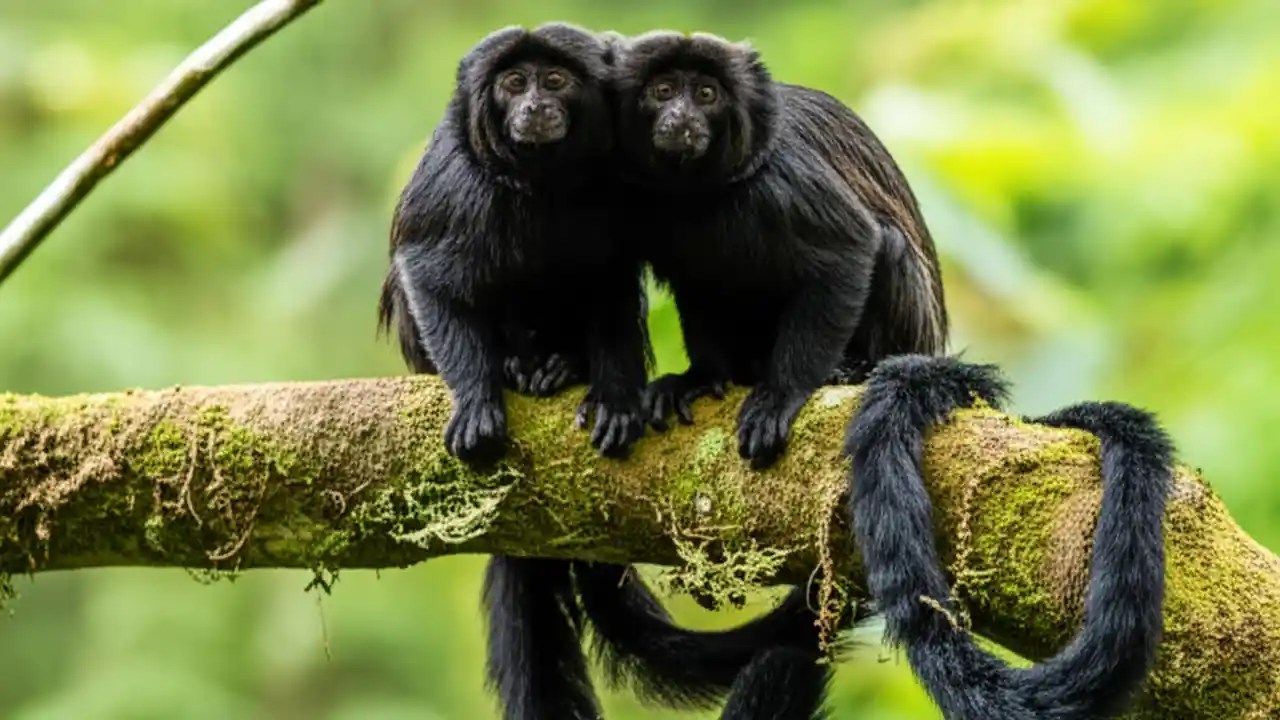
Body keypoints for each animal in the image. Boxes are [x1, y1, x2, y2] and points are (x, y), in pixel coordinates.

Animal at [375, 24, 652, 719]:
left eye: (554, 81)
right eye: (512, 83)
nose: (533, 107)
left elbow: (611, 284)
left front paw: (615, 399)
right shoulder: (457, 181)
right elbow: (428, 273)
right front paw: (477, 402)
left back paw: (556, 368)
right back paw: (517, 366)